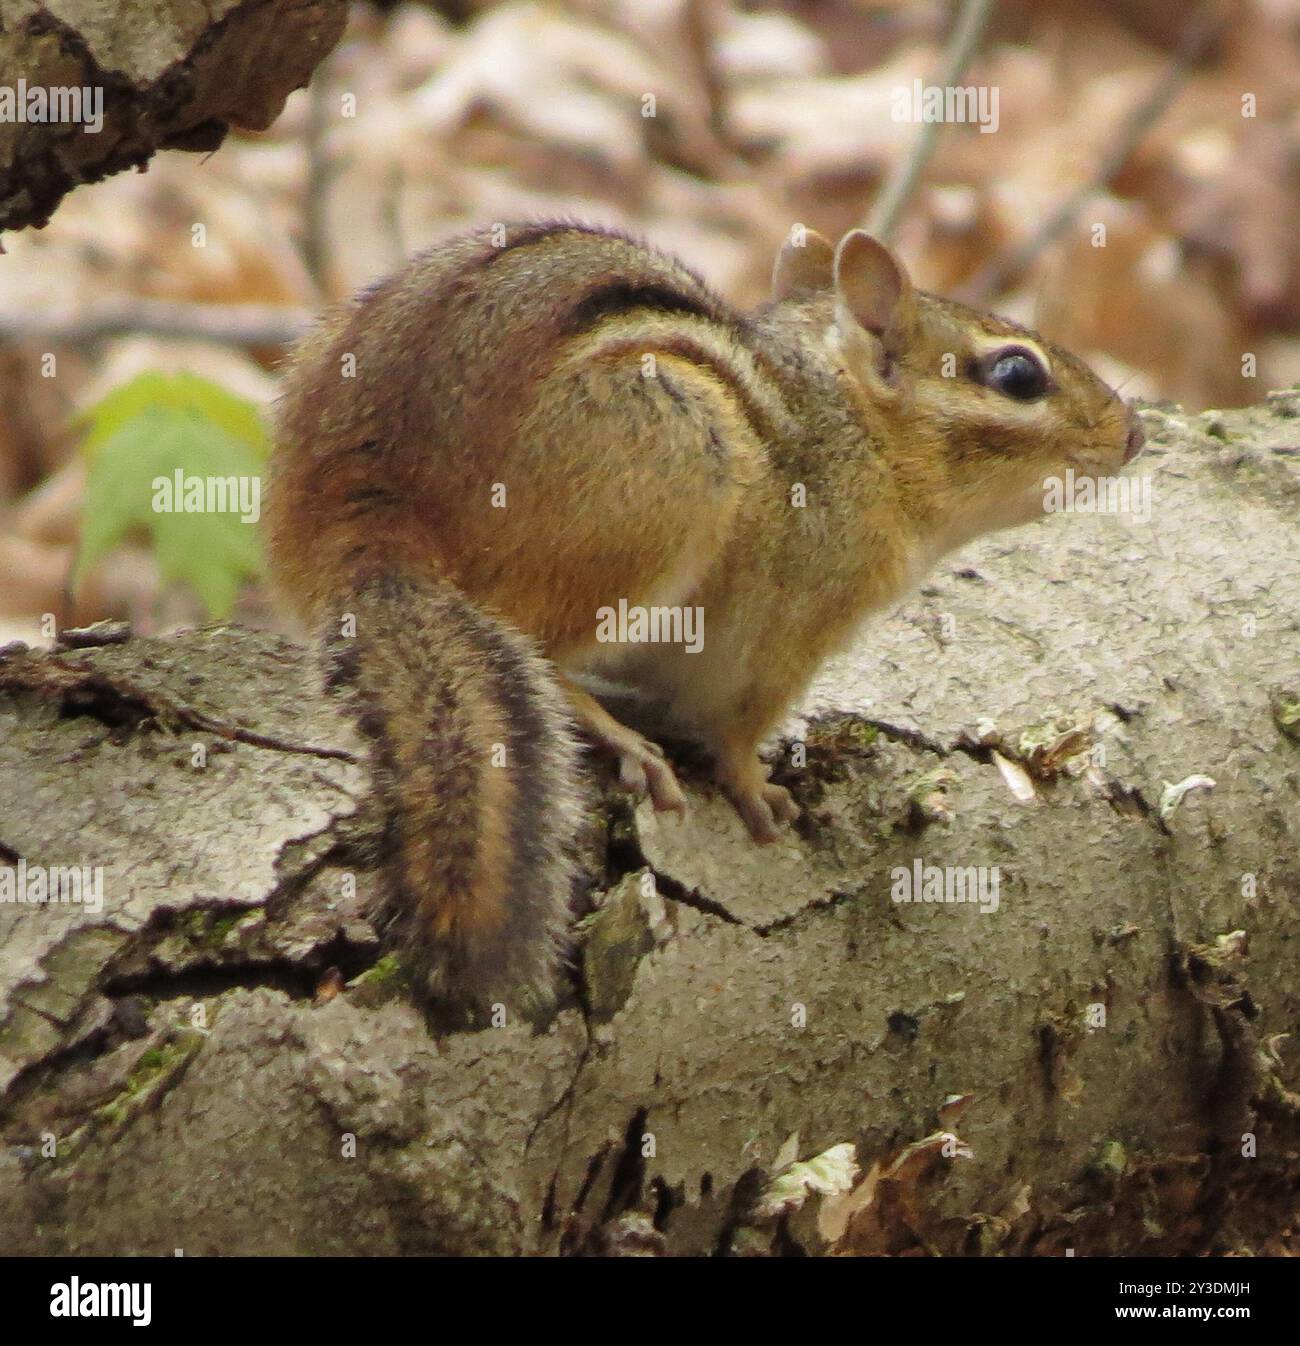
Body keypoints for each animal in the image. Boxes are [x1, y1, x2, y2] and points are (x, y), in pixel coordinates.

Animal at [264, 219, 1144, 1014]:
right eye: (1018, 375)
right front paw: (758, 788)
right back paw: (618, 735)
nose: (1133, 433)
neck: (855, 430)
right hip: (673, 459)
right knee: (542, 646)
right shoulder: (789, 631)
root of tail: (376, 517)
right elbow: (738, 726)